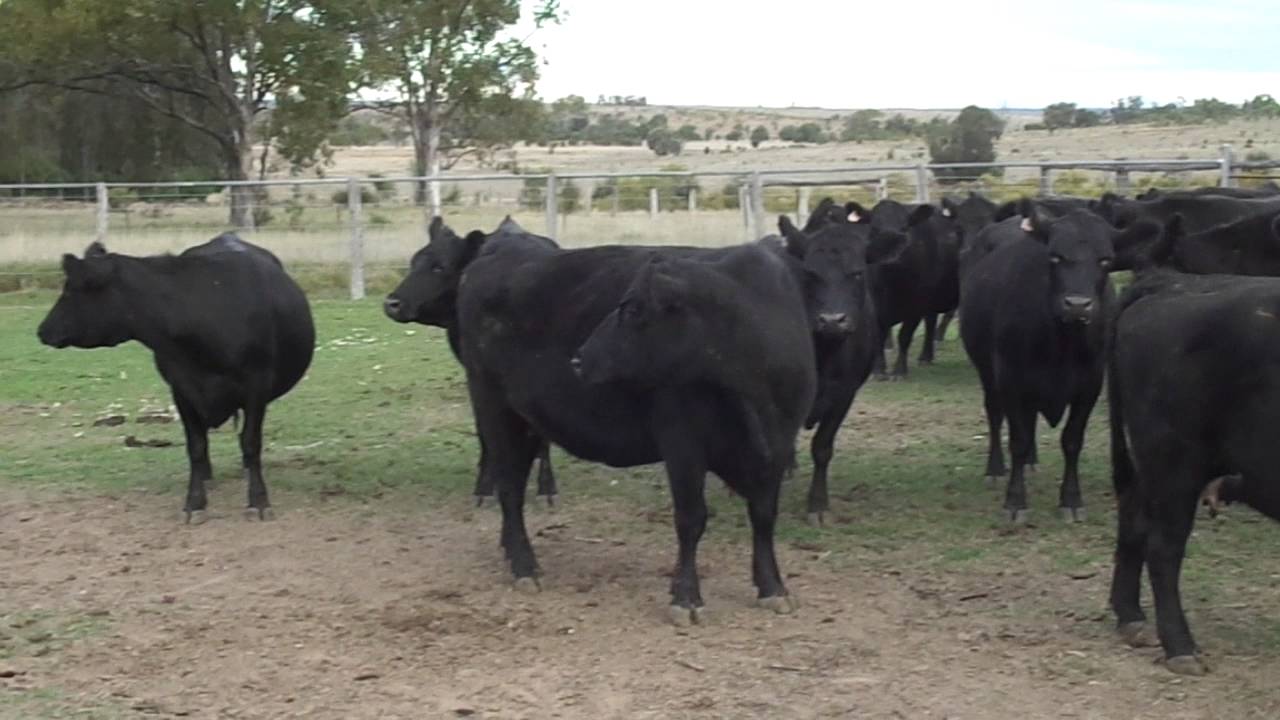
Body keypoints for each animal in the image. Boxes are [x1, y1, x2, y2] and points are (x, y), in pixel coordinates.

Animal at [36, 236, 314, 523]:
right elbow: (196, 446)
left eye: (70, 291)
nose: (42, 330)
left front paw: (258, 501)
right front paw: (195, 502)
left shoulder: (256, 386)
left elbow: (250, 442)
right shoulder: (182, 389)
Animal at [457, 235, 815, 624]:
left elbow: (763, 516)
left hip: (528, 421)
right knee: (509, 489)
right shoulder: (683, 444)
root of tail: (497, 255)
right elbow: (691, 519)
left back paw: (512, 553)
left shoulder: (777, 448)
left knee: (516, 483)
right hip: (494, 408)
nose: (579, 358)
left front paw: (773, 588)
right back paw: (524, 567)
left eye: (631, 311)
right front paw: (686, 598)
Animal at [959, 203, 1161, 522]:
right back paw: (996, 469)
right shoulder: (1011, 379)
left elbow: (1071, 440)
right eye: (1055, 257)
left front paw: (1071, 500)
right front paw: (1015, 502)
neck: (1061, 345)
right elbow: (1018, 439)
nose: (1077, 305)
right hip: (987, 371)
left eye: (1105, 260)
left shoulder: (1090, 383)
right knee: (995, 413)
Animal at [1108, 268, 1280, 675]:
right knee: (1163, 549)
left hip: (1152, 469)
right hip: (1175, 468)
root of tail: (1172, 282)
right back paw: (1180, 647)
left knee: (1132, 521)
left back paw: (1132, 619)